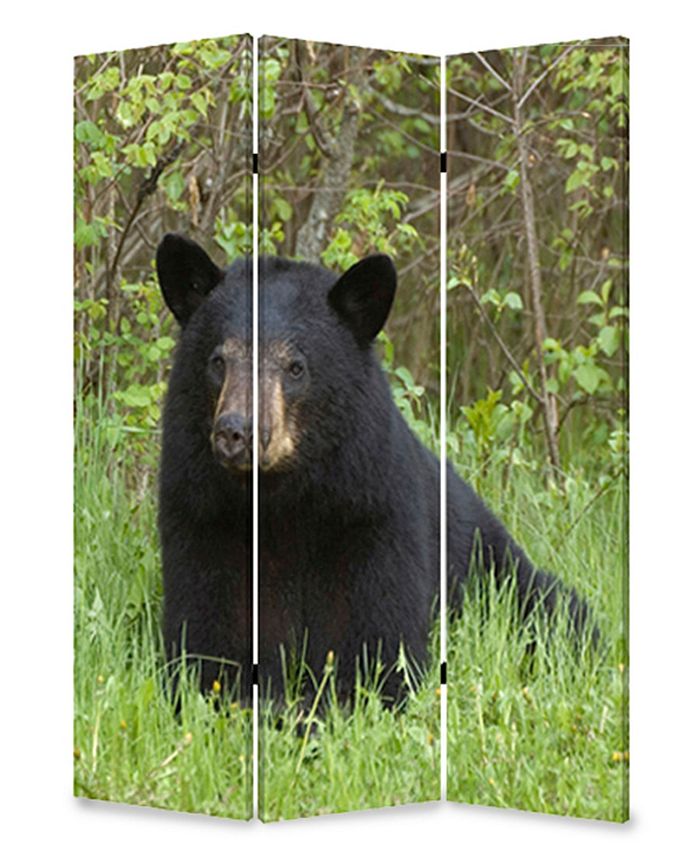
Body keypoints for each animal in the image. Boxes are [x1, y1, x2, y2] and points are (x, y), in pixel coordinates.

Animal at [155, 233, 594, 706]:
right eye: (218, 361)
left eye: (296, 367)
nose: (236, 432)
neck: (281, 498)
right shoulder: (203, 515)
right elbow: (206, 642)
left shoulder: (372, 514)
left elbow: (380, 648)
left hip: (501, 573)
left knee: (560, 614)